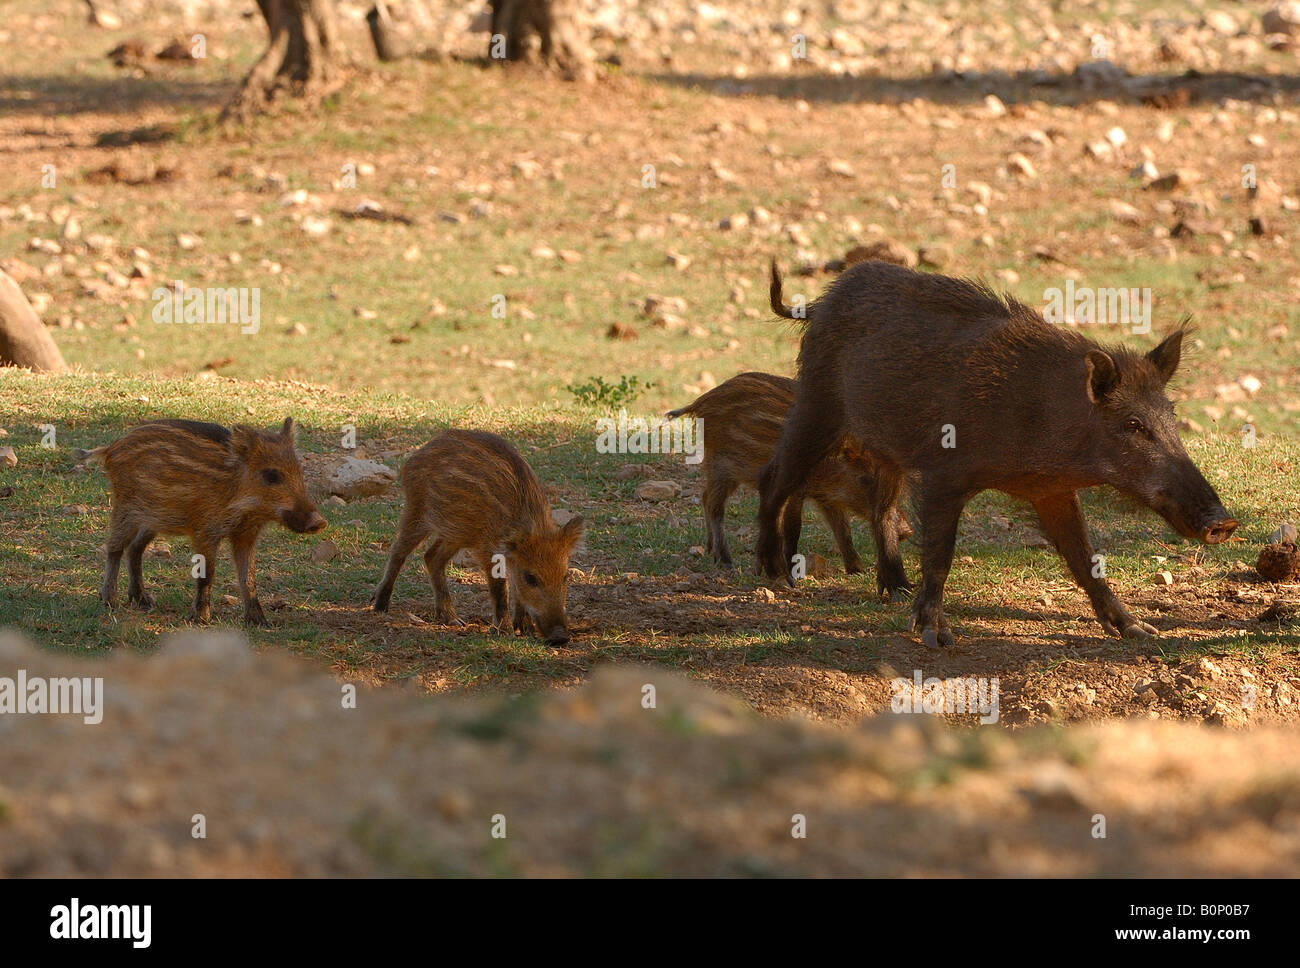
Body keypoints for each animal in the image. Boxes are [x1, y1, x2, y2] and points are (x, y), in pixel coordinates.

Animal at [77, 418, 326, 626]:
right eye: (271, 475)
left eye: (299, 471)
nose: (319, 522)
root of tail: (110, 448)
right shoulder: (206, 531)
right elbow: (207, 575)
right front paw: (200, 619)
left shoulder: (245, 534)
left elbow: (249, 577)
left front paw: (260, 622)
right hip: (125, 508)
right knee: (114, 547)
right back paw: (110, 601)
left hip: (153, 519)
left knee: (135, 549)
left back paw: (143, 601)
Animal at [371, 429, 584, 645]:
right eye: (531, 578)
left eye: (565, 576)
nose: (560, 637)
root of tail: (417, 454)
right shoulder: (487, 548)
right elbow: (500, 588)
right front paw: (505, 631)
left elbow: (515, 588)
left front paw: (525, 630)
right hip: (417, 510)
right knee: (398, 551)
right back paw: (380, 606)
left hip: (456, 532)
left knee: (432, 557)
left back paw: (454, 620)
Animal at [666, 371, 912, 572]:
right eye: (864, 479)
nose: (907, 532)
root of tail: (700, 402)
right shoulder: (800, 490)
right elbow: (794, 527)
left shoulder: (827, 496)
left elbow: (843, 530)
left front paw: (857, 570)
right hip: (720, 465)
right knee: (715, 506)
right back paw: (725, 561)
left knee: (705, 497)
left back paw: (710, 550)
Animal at [757, 259, 1238, 647]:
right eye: (1134, 425)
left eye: (1172, 416)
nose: (1225, 522)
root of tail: (818, 305)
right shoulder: (943, 474)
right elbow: (941, 555)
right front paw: (936, 636)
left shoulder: (1052, 492)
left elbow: (1086, 561)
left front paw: (1140, 630)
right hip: (819, 404)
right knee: (774, 476)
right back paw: (774, 575)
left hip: (885, 446)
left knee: (881, 506)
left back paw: (896, 590)